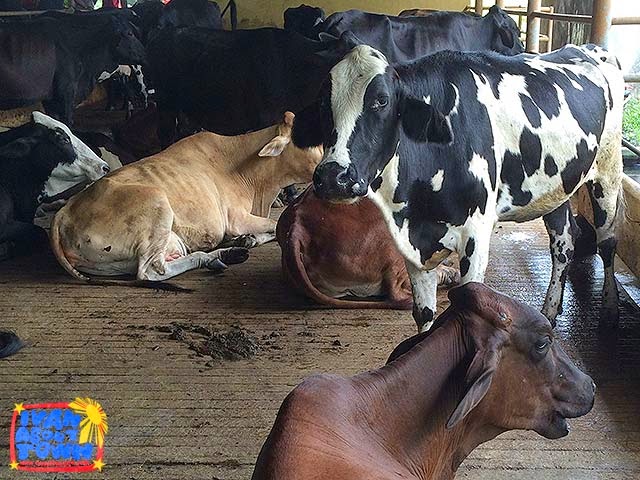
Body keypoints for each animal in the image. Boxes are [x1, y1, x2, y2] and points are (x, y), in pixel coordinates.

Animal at [50, 112, 323, 283]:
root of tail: (64, 213)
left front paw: (248, 240)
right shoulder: (235, 219)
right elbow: (277, 224)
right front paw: (251, 237)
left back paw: (223, 255)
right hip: (157, 203)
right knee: (151, 271)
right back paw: (216, 257)